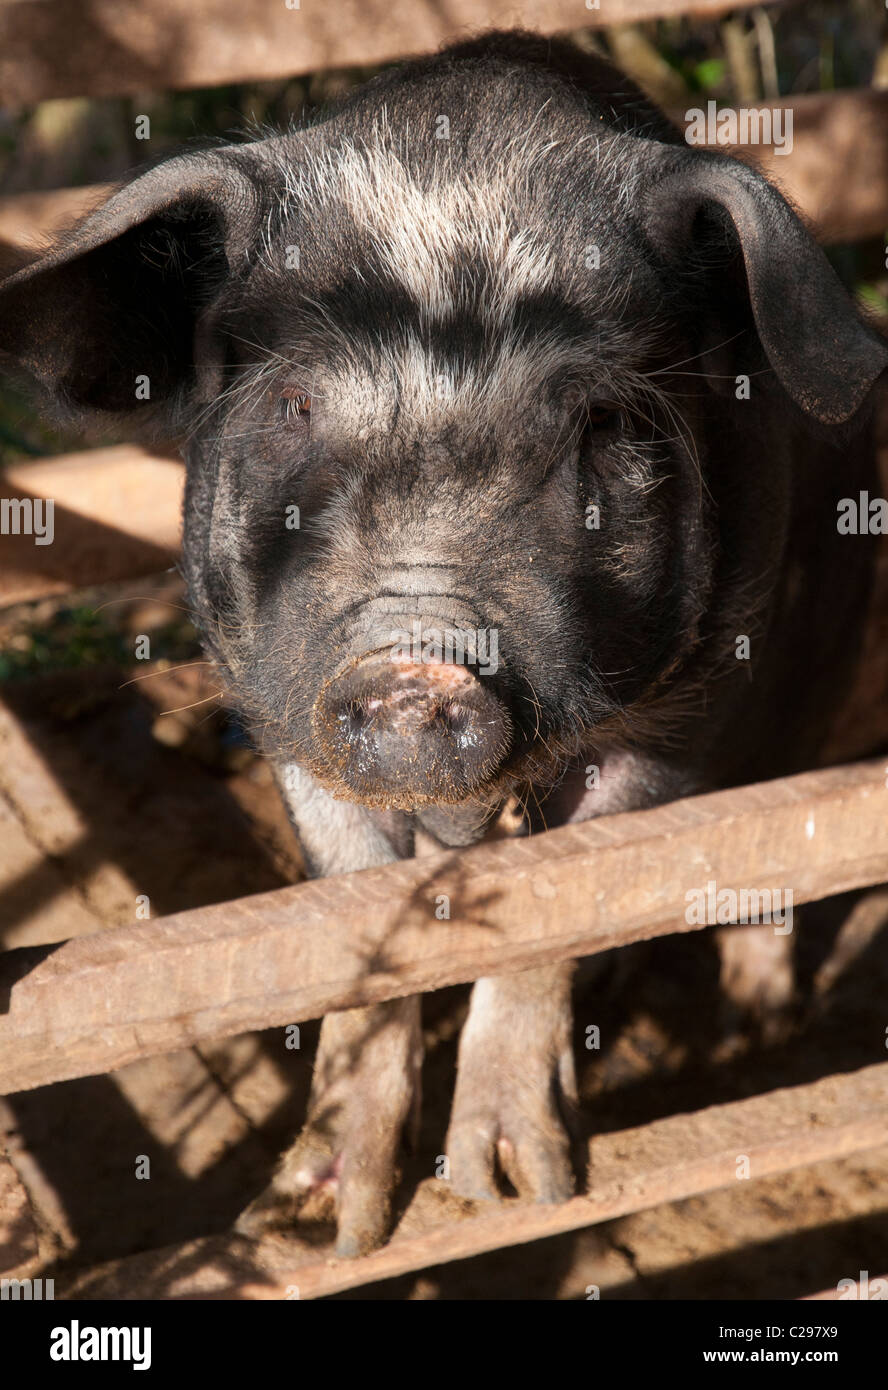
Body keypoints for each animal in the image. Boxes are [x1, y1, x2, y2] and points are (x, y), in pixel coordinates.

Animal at [1, 30, 885, 1258]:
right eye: (292, 402)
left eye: (601, 422)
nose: (415, 668)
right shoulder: (279, 707)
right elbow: (350, 934)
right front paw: (317, 1229)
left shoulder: (682, 716)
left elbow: (568, 908)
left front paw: (514, 1193)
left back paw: (760, 1032)